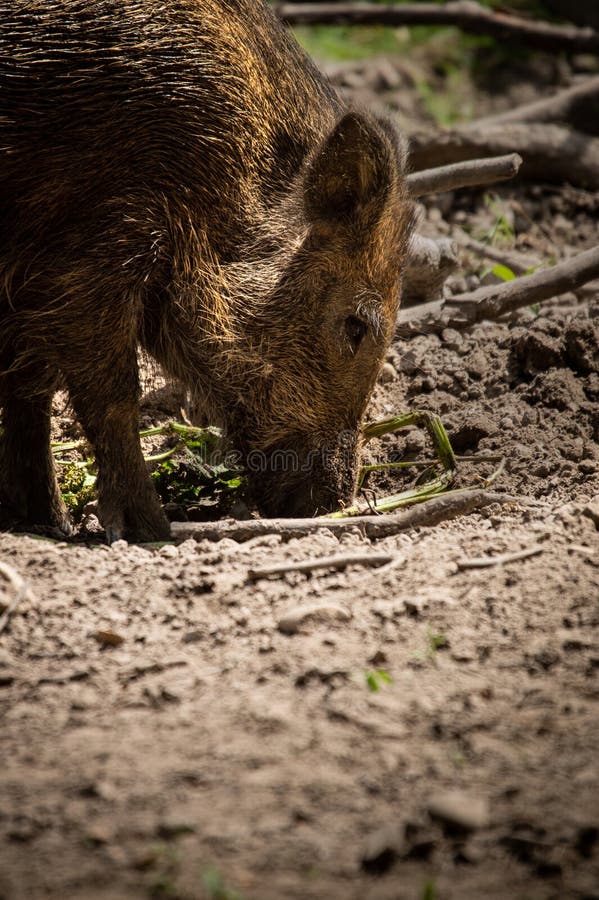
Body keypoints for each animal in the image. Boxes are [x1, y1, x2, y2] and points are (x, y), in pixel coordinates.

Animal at [0, 0, 413, 542]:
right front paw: (149, 531)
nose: (332, 504)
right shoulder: (88, 252)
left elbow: (31, 386)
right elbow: (113, 393)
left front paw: (49, 522)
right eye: (357, 325)